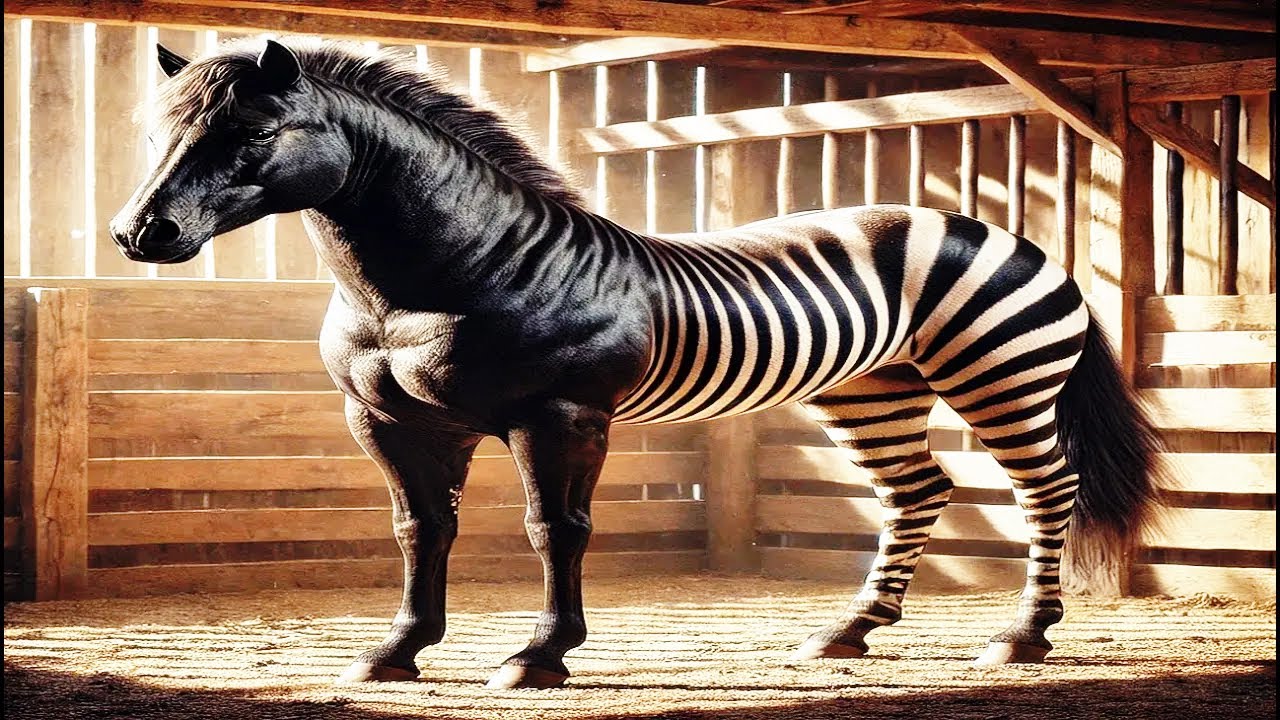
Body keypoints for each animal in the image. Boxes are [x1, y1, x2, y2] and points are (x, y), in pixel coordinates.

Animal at [109, 39, 1162, 689]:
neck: (424, 284)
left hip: (1001, 375)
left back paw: (1022, 637)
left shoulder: (561, 415)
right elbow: (419, 531)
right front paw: (398, 650)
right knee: (918, 489)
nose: (136, 234)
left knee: (1046, 490)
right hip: (872, 389)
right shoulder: (390, 419)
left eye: (250, 135)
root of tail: (996, 225)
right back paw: (848, 632)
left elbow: (555, 531)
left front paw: (539, 657)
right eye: (154, 136)